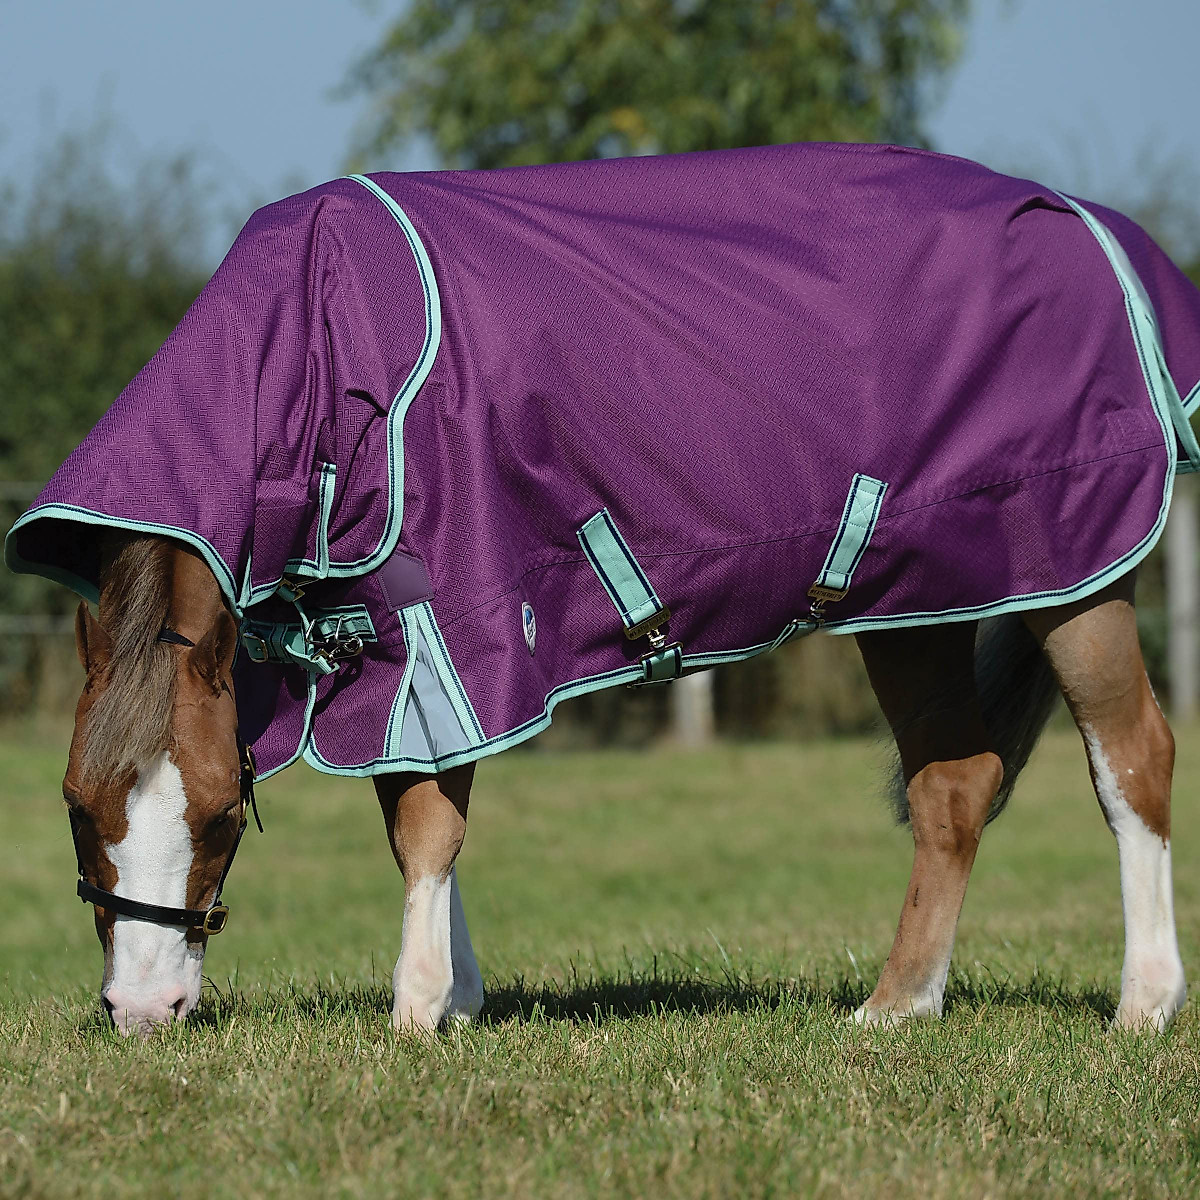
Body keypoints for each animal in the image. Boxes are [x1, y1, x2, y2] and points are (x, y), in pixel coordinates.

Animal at [11, 142, 1199, 1036]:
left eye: (219, 817)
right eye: (74, 806)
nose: (143, 1012)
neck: (324, 351)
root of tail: (1087, 220)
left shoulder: (448, 618)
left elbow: (427, 821)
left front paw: (418, 1011)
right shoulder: (389, 639)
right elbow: (425, 805)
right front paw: (461, 998)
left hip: (1076, 570)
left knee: (1131, 758)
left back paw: (1143, 1005)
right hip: (916, 599)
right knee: (955, 784)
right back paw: (896, 1007)